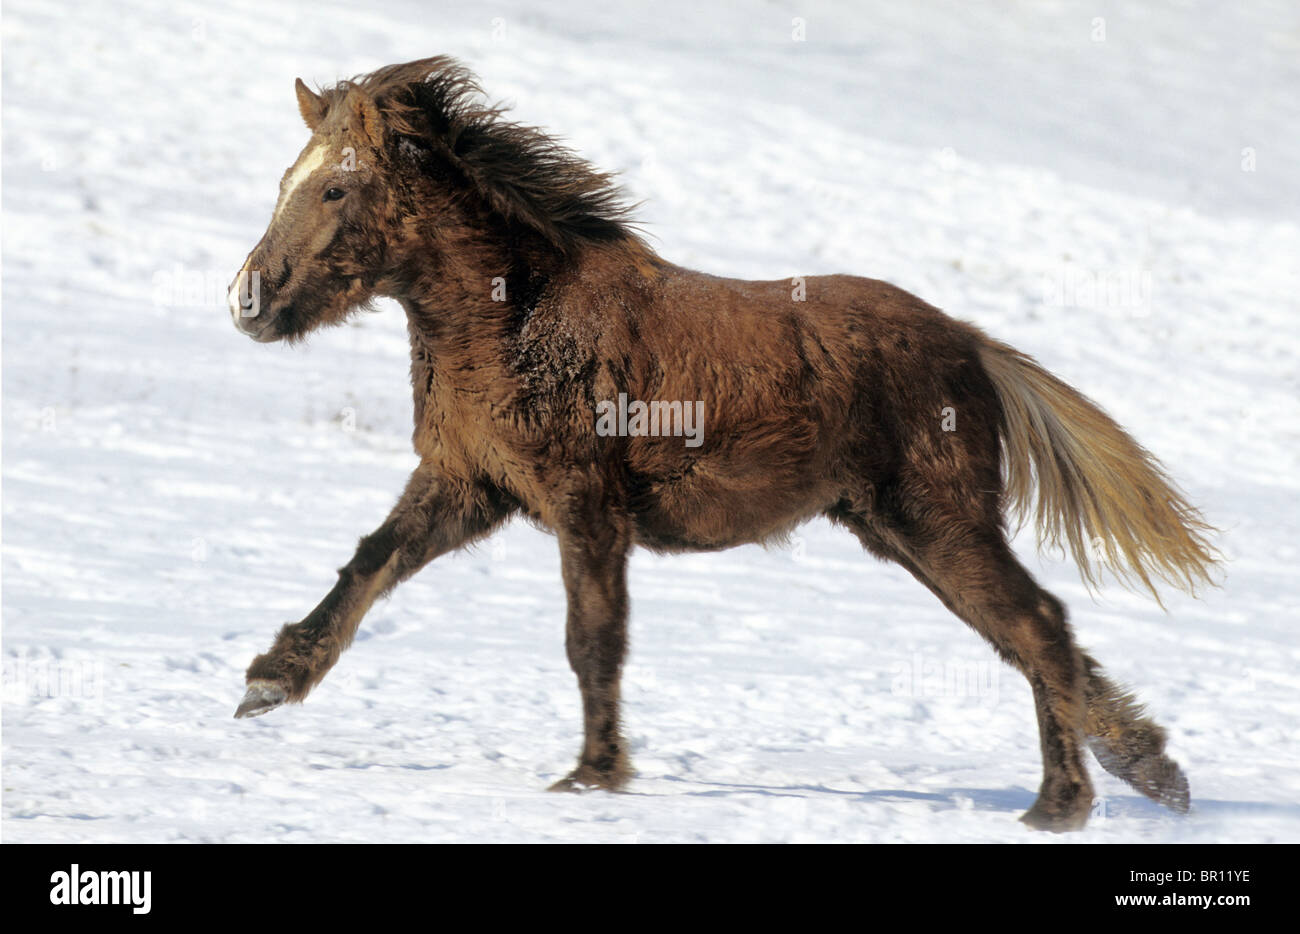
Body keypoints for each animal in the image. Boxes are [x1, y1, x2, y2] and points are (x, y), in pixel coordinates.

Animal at [226, 57, 1218, 831]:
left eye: (336, 186)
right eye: (283, 179)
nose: (250, 300)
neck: (510, 321)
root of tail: (972, 346)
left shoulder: (586, 505)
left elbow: (592, 637)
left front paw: (592, 777)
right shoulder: (471, 484)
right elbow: (371, 563)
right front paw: (268, 682)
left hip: (937, 520)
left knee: (1038, 626)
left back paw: (1063, 803)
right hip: (897, 529)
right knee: (1033, 637)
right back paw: (1146, 771)